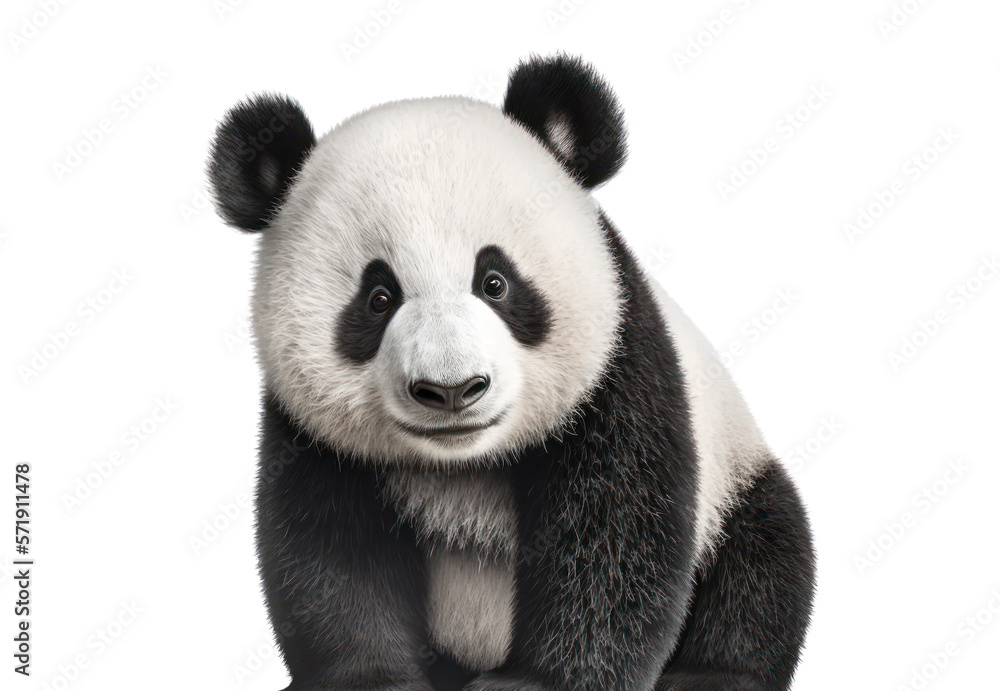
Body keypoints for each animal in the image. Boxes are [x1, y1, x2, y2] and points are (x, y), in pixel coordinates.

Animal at [208, 55, 815, 691]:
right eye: (377, 298)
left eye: (495, 282)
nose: (452, 390)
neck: (463, 463)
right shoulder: (308, 430)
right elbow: (330, 546)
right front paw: (372, 676)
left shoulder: (618, 365)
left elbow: (615, 533)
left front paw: (535, 681)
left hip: (733, 472)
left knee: (762, 557)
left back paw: (709, 673)